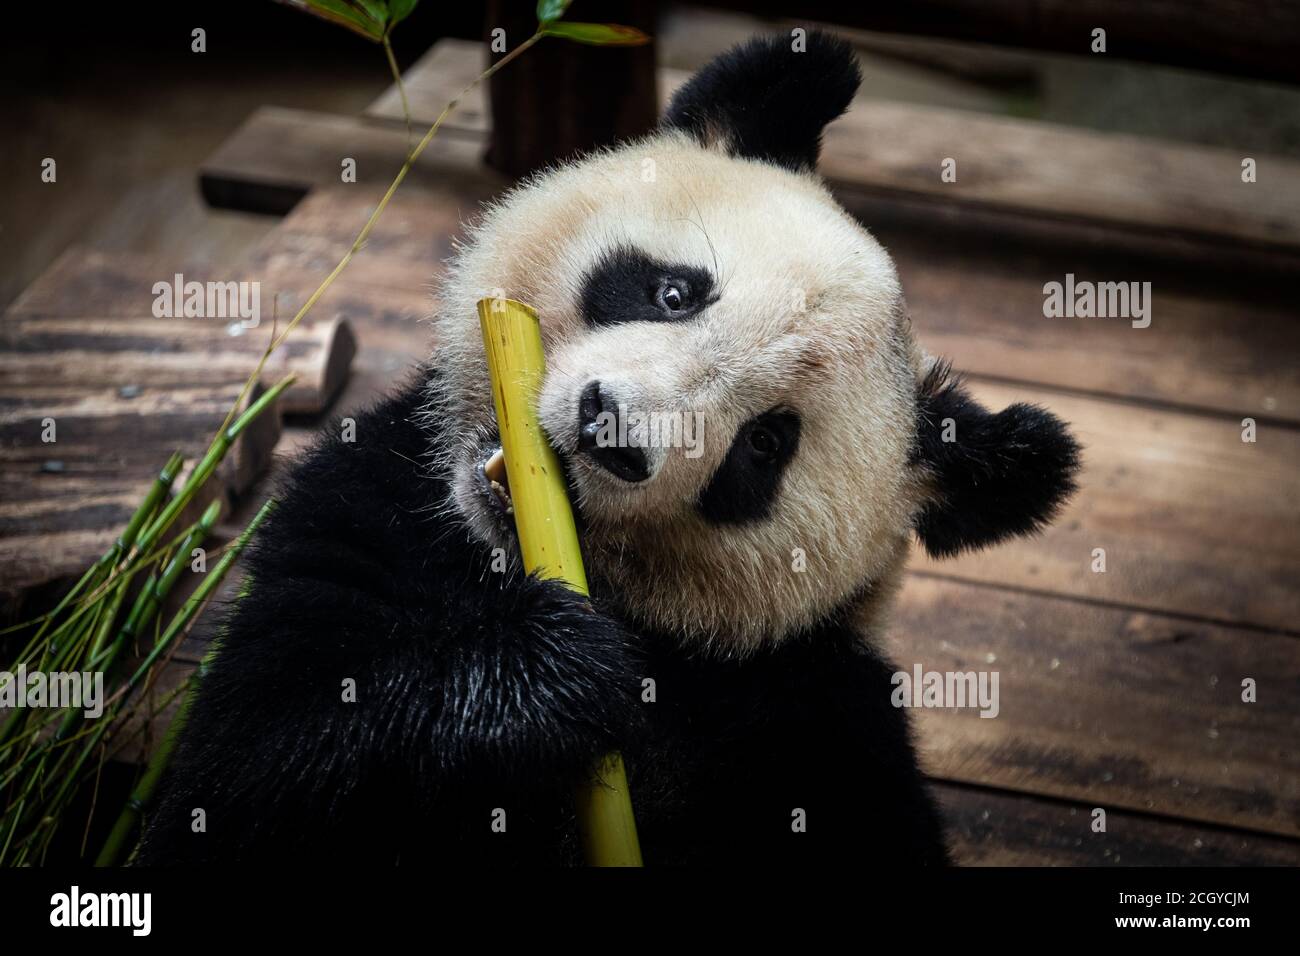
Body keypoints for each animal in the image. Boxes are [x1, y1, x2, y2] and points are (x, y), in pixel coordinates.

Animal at [137, 32, 1079, 866]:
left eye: (764, 445)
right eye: (674, 292)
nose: (609, 430)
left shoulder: (813, 711)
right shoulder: (361, 513)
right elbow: (250, 770)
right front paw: (545, 671)